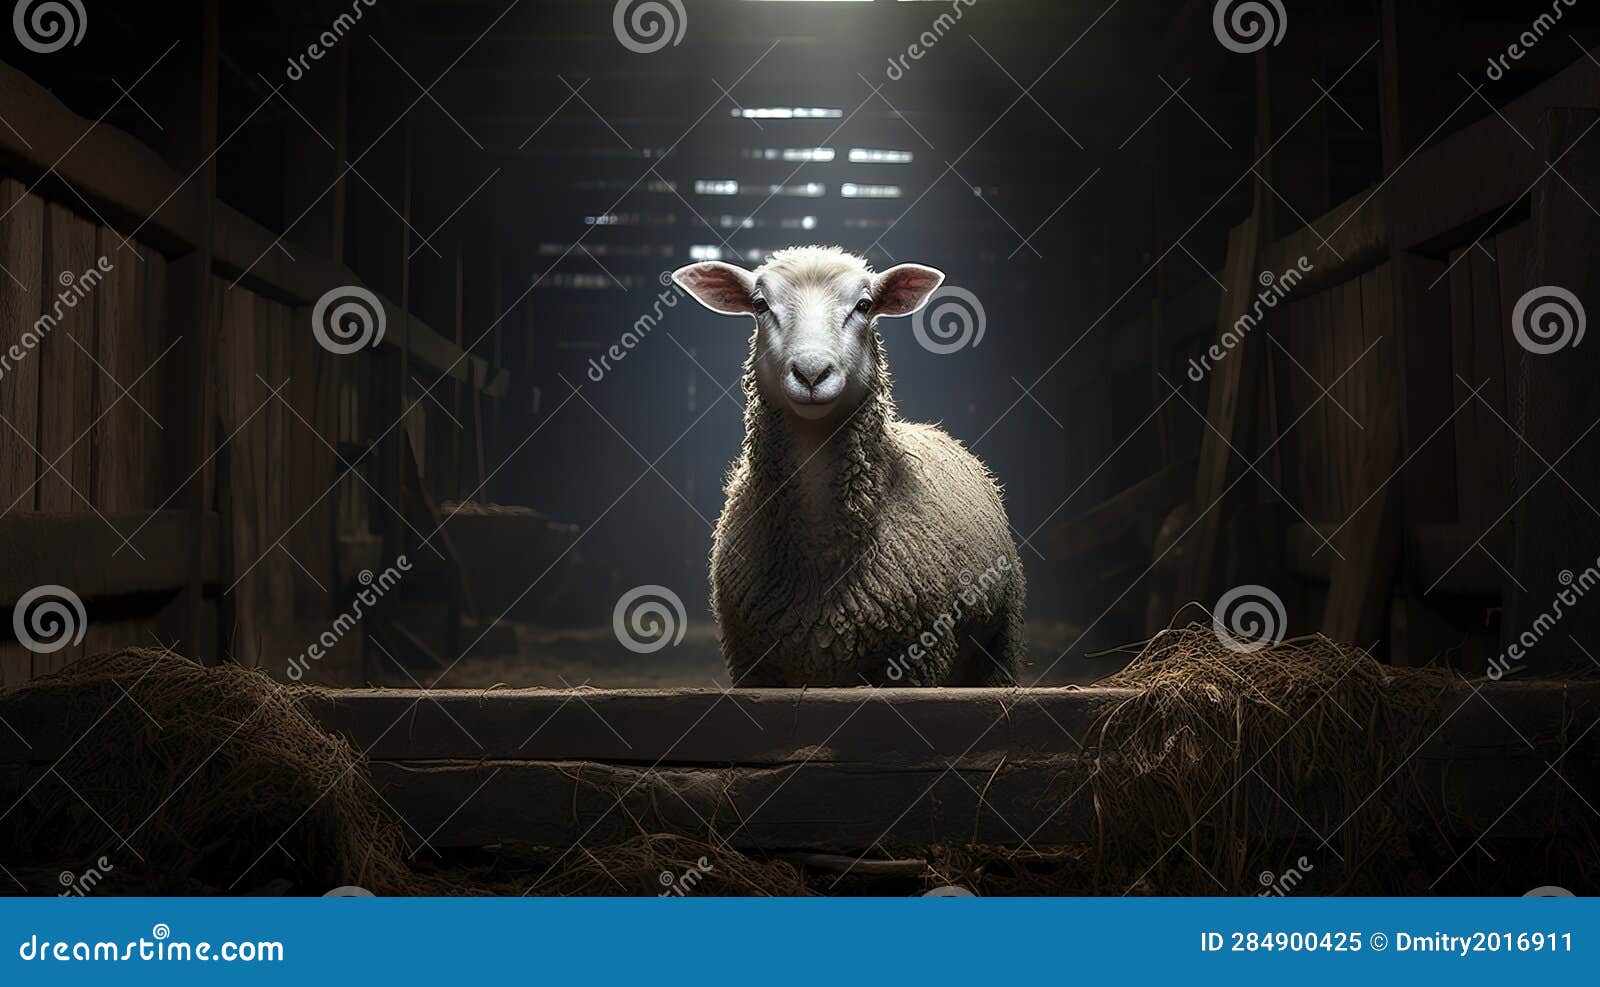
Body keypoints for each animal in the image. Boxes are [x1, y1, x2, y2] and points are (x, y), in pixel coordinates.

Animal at [672, 246, 1025, 687]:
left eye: (864, 305)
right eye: (760, 305)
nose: (811, 372)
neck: (821, 561)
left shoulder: (917, 657)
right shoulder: (751, 661)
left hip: (1000, 640)